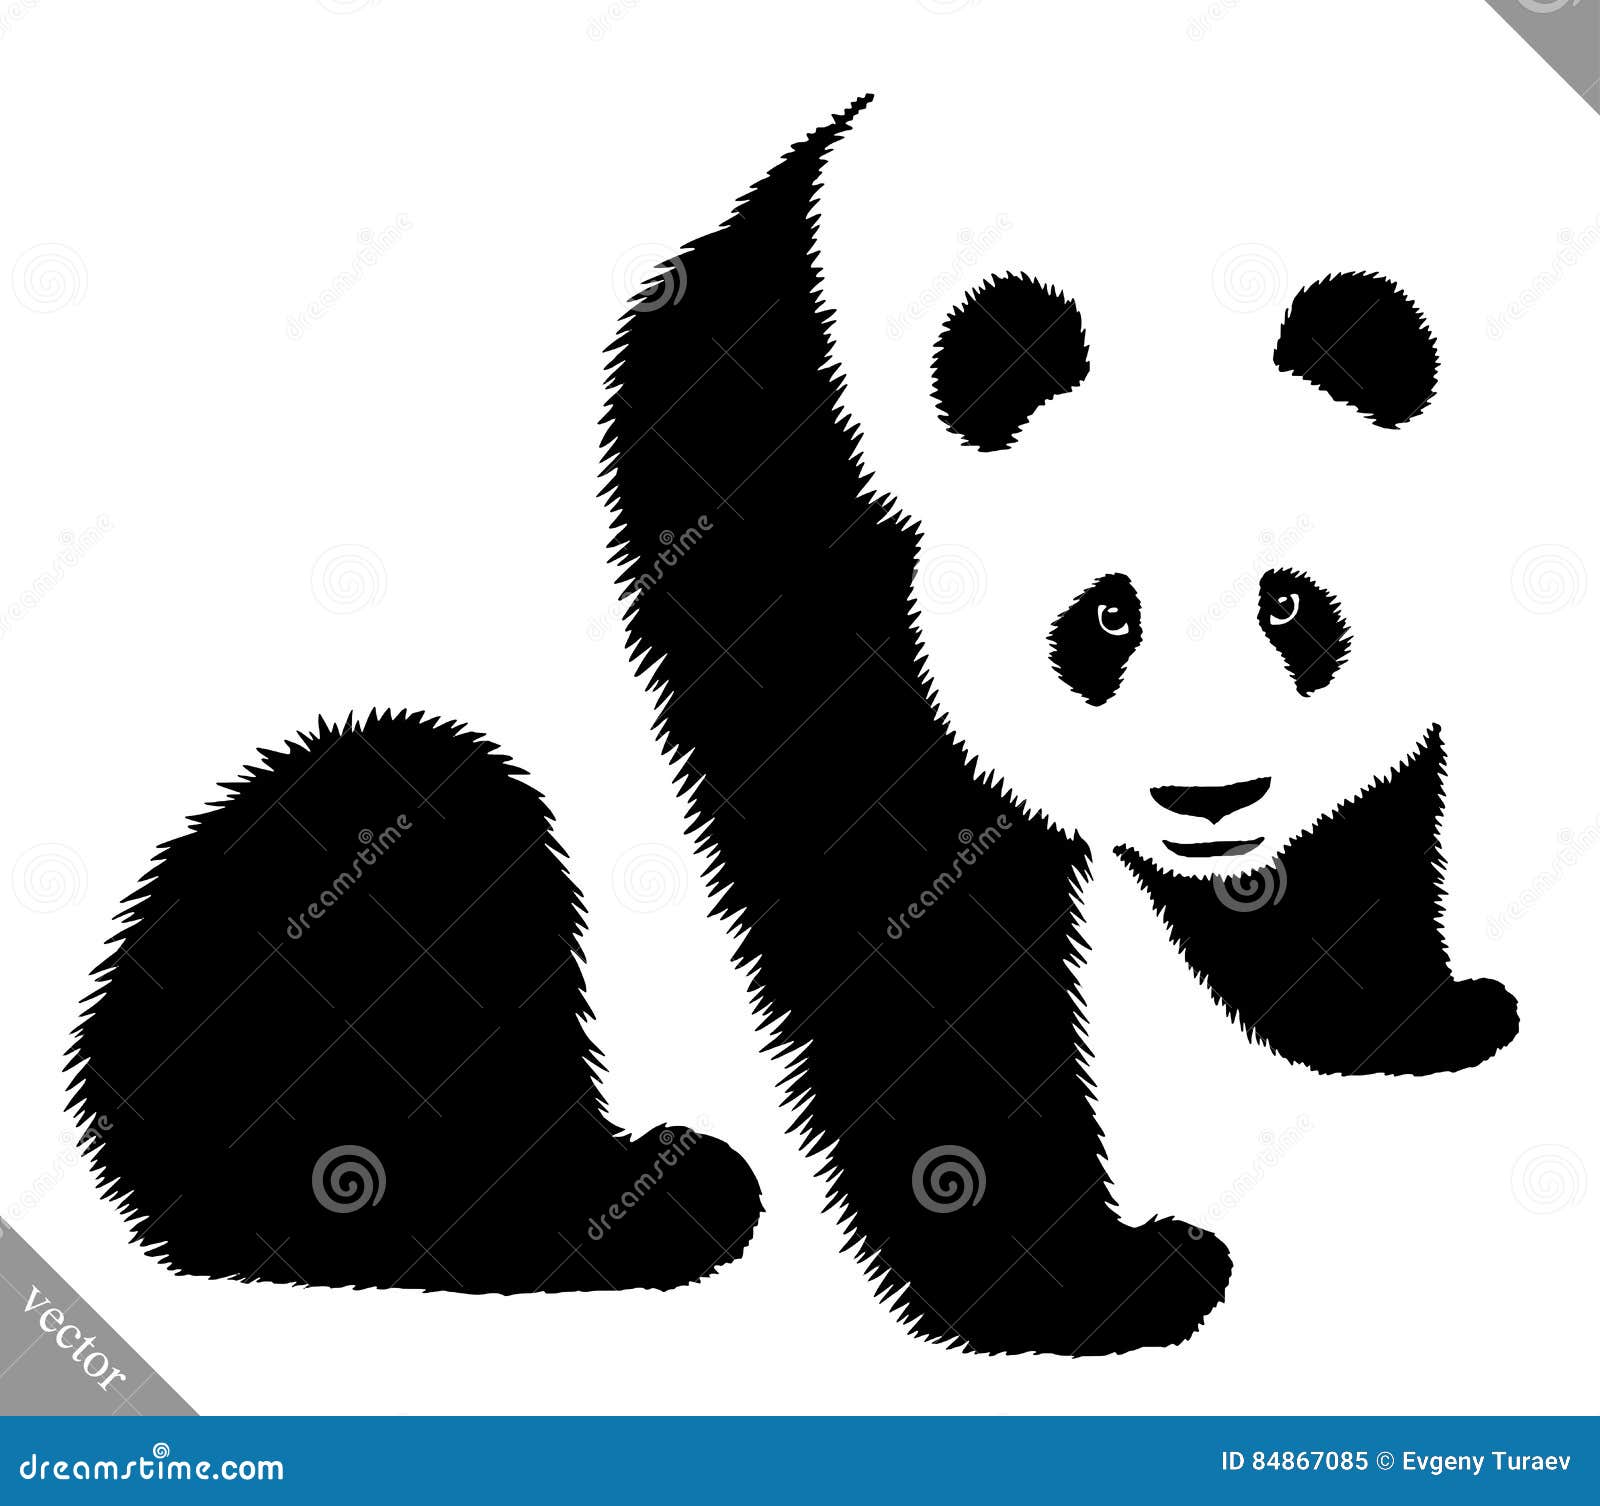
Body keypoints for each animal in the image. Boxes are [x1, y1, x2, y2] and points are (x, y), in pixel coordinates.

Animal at [71, 3, 1585, 1357]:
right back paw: (617, 1201)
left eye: (1292, 608)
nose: (1211, 801)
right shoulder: (798, 479)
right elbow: (893, 890)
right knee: (407, 862)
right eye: (1102, 620)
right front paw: (1089, 1287)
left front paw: (1405, 1010)